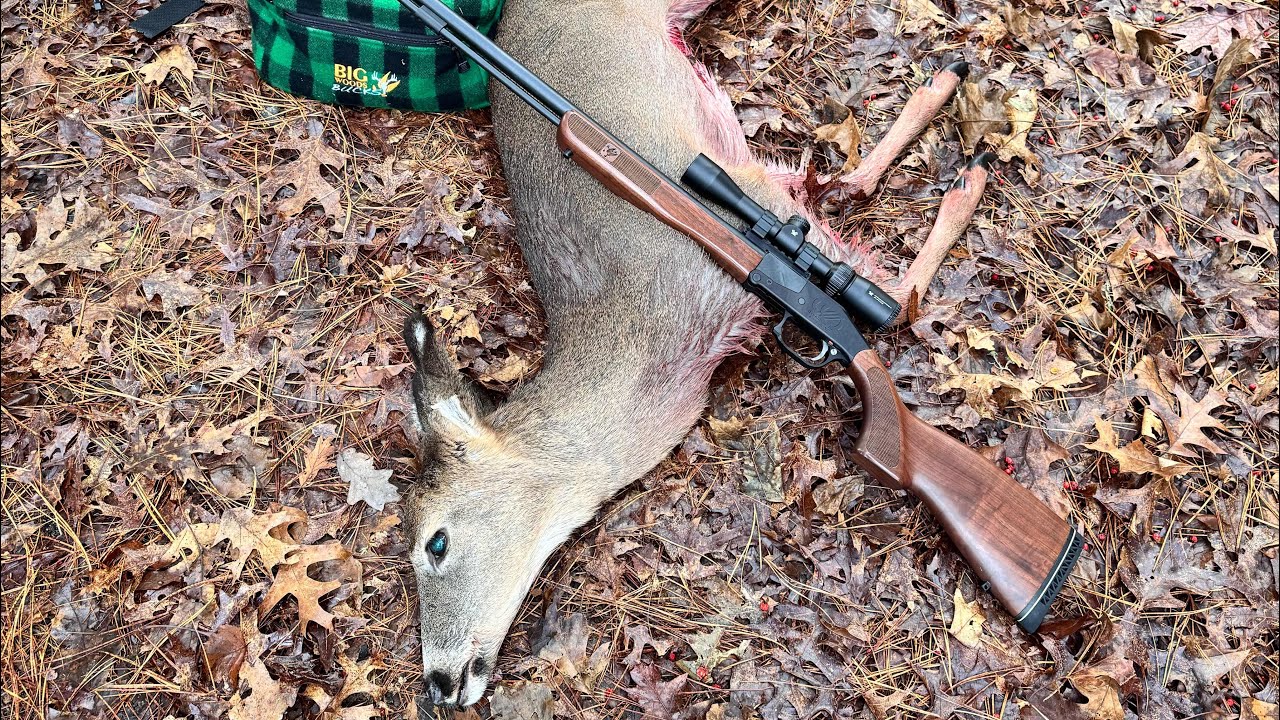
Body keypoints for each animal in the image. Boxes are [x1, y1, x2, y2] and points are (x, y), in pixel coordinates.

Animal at [400, 0, 993, 707]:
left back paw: (962, 134)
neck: (651, 352)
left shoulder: (756, 203)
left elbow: (890, 292)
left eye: (436, 541)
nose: (438, 682)